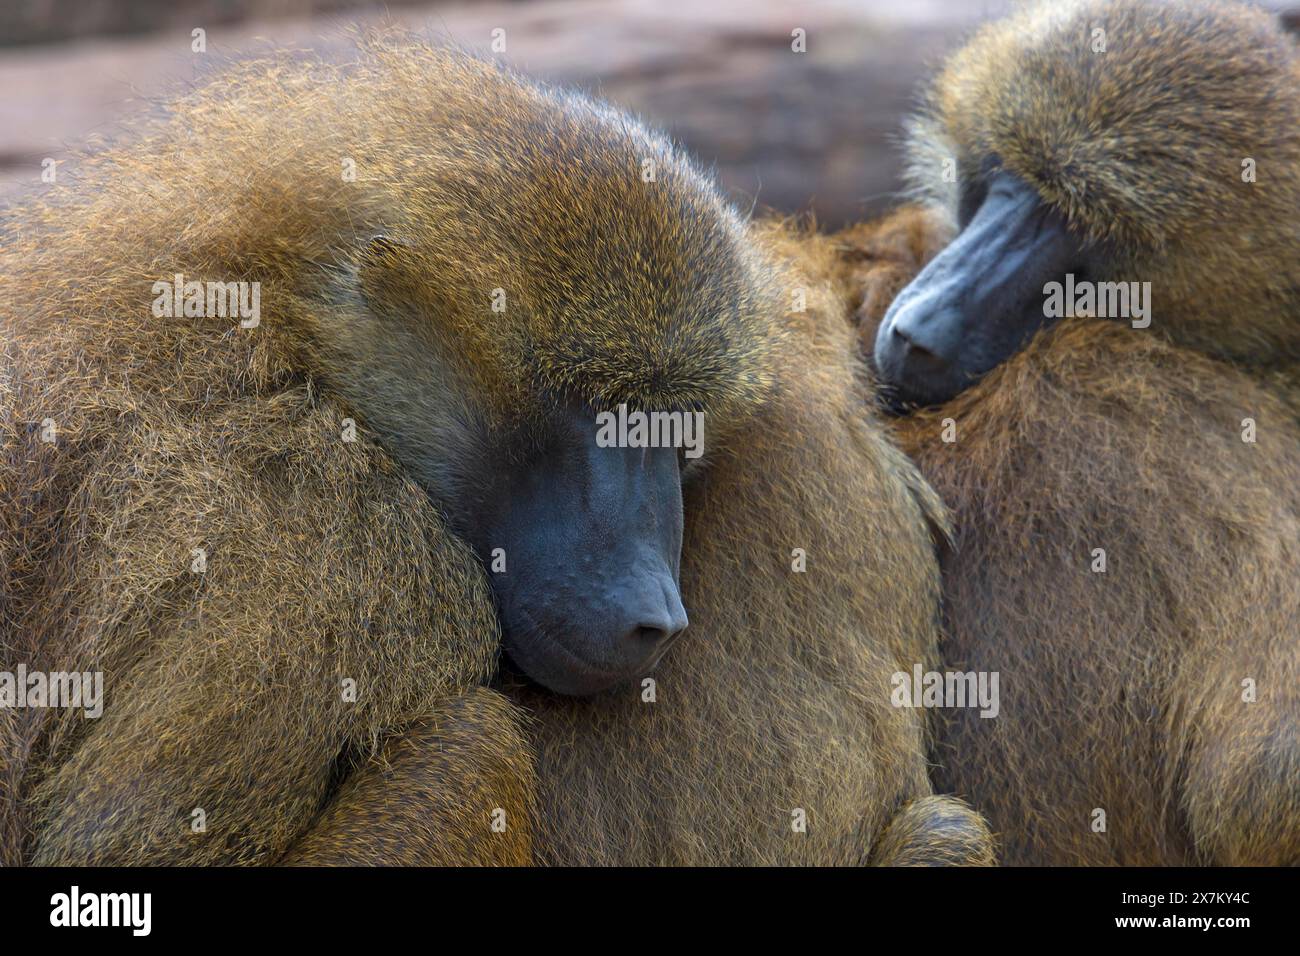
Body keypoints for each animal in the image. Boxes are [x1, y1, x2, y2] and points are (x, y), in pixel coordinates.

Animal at [0, 33, 992, 866]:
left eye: (674, 431)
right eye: (596, 417)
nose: (658, 614)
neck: (270, 318)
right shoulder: (323, 551)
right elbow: (123, 848)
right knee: (469, 746)